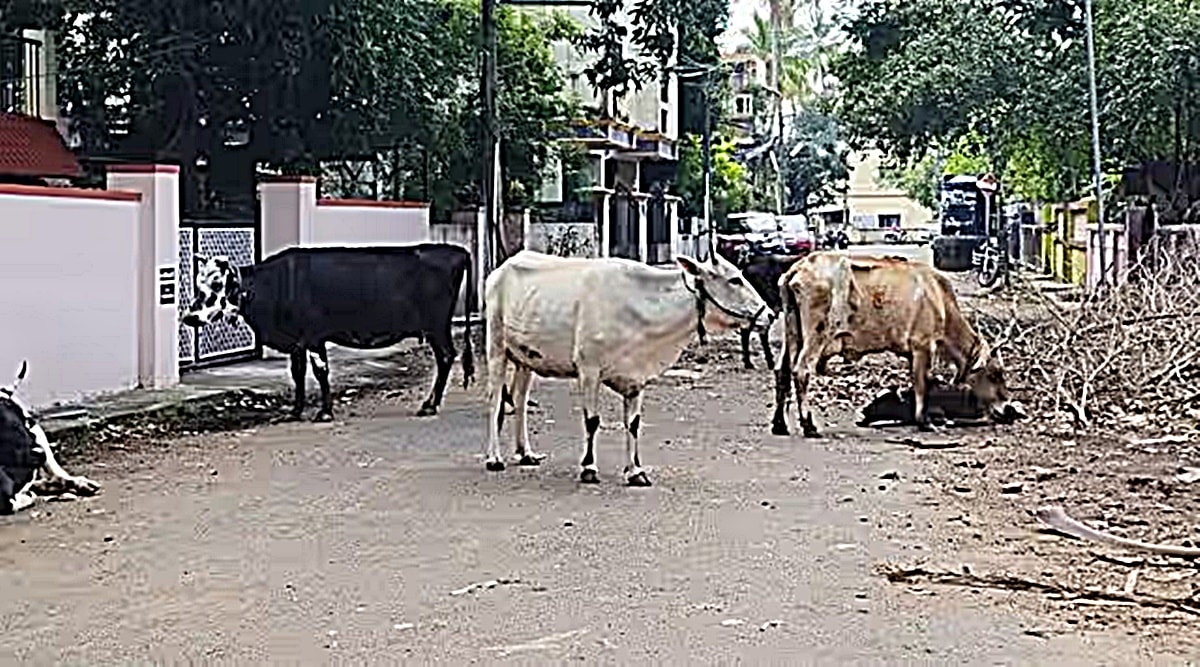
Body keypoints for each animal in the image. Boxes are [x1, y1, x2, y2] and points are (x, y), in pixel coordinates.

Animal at [181, 244, 475, 422]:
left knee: (446, 357)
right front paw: (296, 411)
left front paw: (324, 412)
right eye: (198, 283)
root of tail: (456, 251)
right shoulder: (298, 342)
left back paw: (429, 405)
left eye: (217, 284)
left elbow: (321, 371)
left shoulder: (313, 336)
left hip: (437, 326)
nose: (189, 317)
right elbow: (298, 374)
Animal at [483, 250, 771, 486]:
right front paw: (589, 468)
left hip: (525, 360)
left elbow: (633, 424)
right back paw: (494, 458)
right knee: (496, 402)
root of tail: (502, 268)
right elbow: (592, 421)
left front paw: (636, 472)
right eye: (734, 280)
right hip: (496, 348)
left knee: (519, 401)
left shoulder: (636, 380)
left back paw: (525, 453)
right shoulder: (588, 370)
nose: (769, 315)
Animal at [771, 252, 1013, 437]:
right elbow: (922, 384)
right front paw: (924, 421)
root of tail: (798, 268)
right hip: (816, 336)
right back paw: (808, 425)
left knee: (782, 371)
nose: (1007, 410)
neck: (939, 299)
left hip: (792, 334)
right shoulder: (923, 346)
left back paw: (779, 424)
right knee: (801, 371)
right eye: (994, 374)